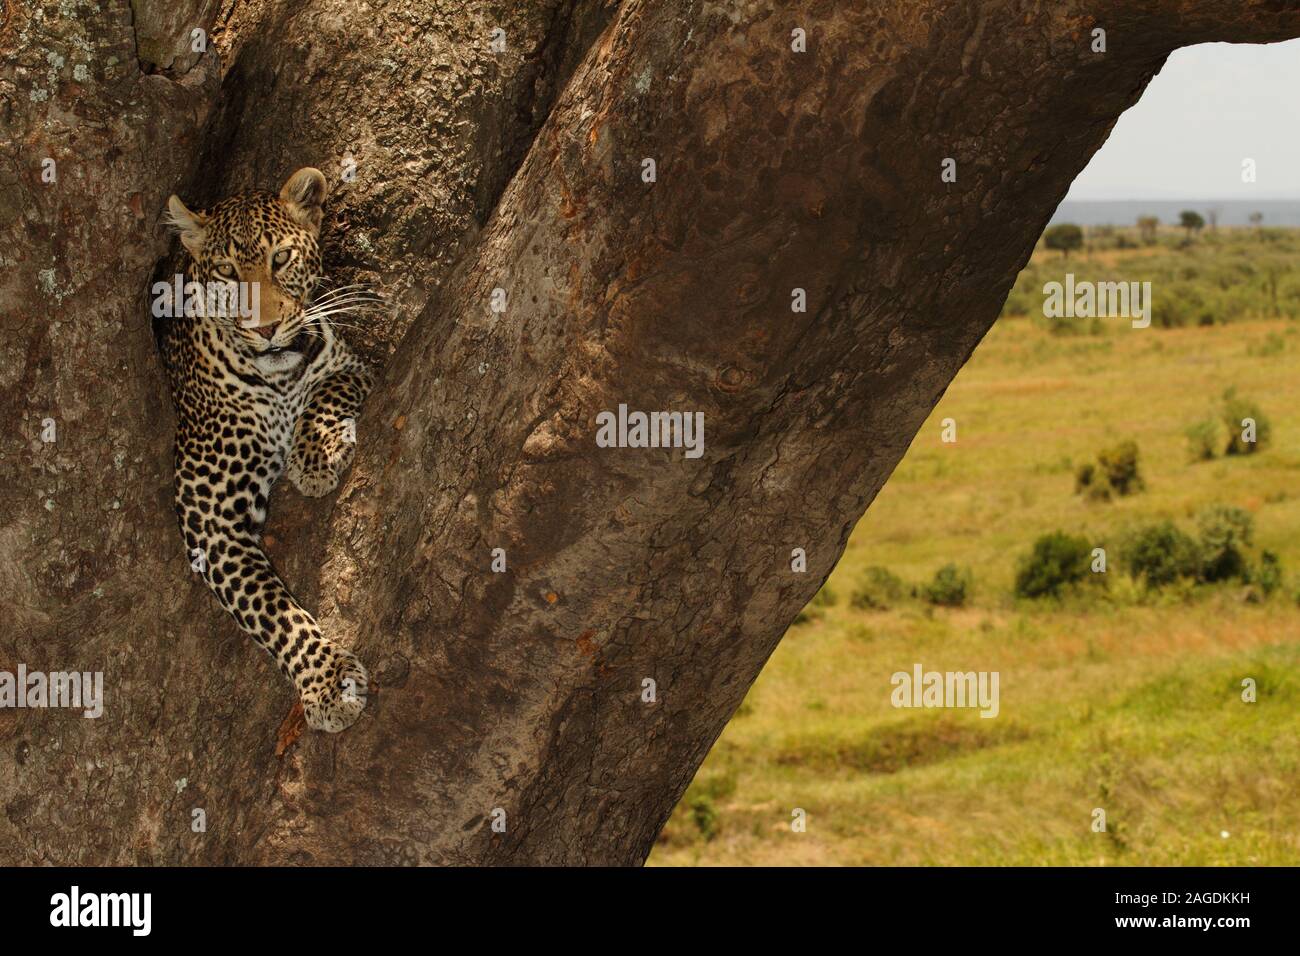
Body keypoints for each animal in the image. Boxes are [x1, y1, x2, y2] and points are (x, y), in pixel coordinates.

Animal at [157, 167, 376, 732]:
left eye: (281, 258)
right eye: (228, 272)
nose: (267, 330)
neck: (273, 382)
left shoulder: (347, 365)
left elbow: (324, 391)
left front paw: (316, 455)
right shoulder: (210, 520)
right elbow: (272, 609)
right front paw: (327, 681)